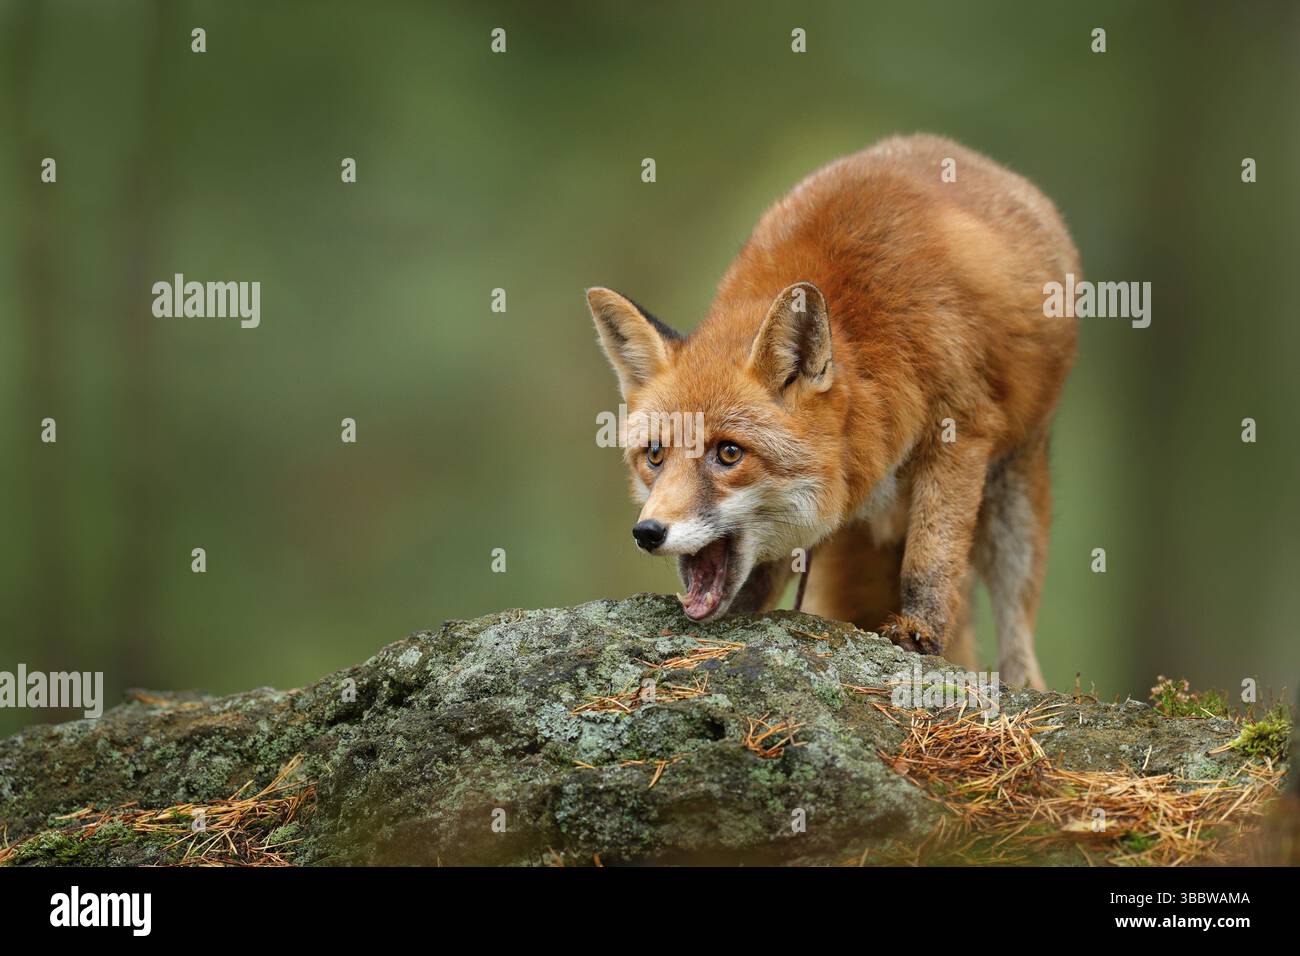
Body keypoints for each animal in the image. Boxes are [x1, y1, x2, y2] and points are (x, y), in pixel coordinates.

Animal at [586, 134, 1078, 690]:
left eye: (729, 453)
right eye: (654, 456)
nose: (648, 532)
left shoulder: (962, 429)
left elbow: (930, 559)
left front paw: (918, 634)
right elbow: (757, 585)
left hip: (1016, 494)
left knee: (1016, 629)